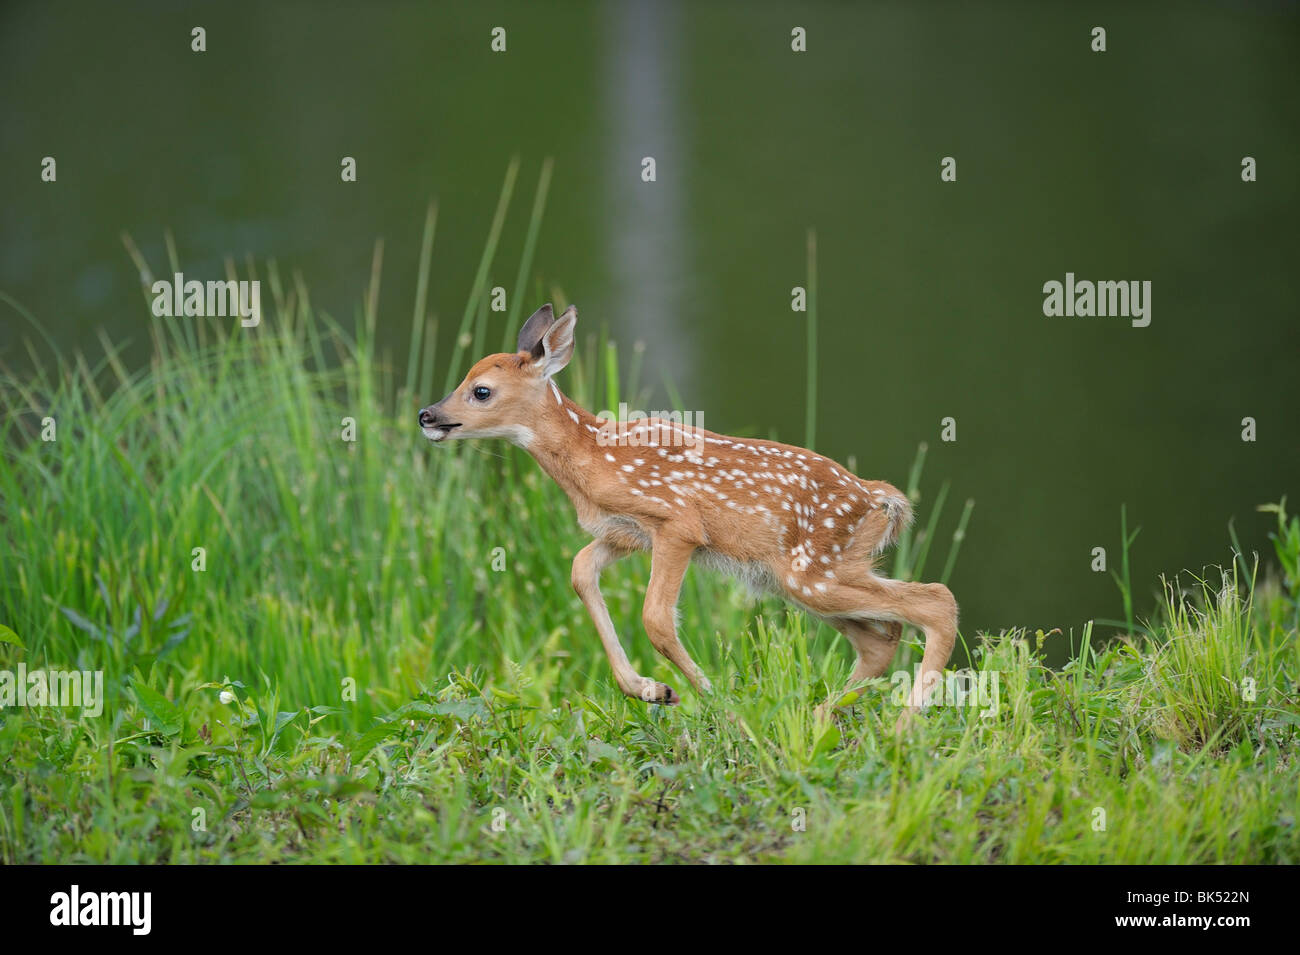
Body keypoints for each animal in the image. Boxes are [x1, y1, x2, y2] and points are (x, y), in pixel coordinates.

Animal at [419, 304, 958, 727]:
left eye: (481, 390)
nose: (427, 415)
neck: (592, 457)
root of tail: (879, 498)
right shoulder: (625, 533)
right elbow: (579, 571)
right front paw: (650, 689)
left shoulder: (677, 523)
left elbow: (656, 618)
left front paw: (718, 705)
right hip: (802, 578)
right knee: (883, 638)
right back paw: (820, 717)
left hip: (814, 573)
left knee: (936, 600)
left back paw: (903, 727)